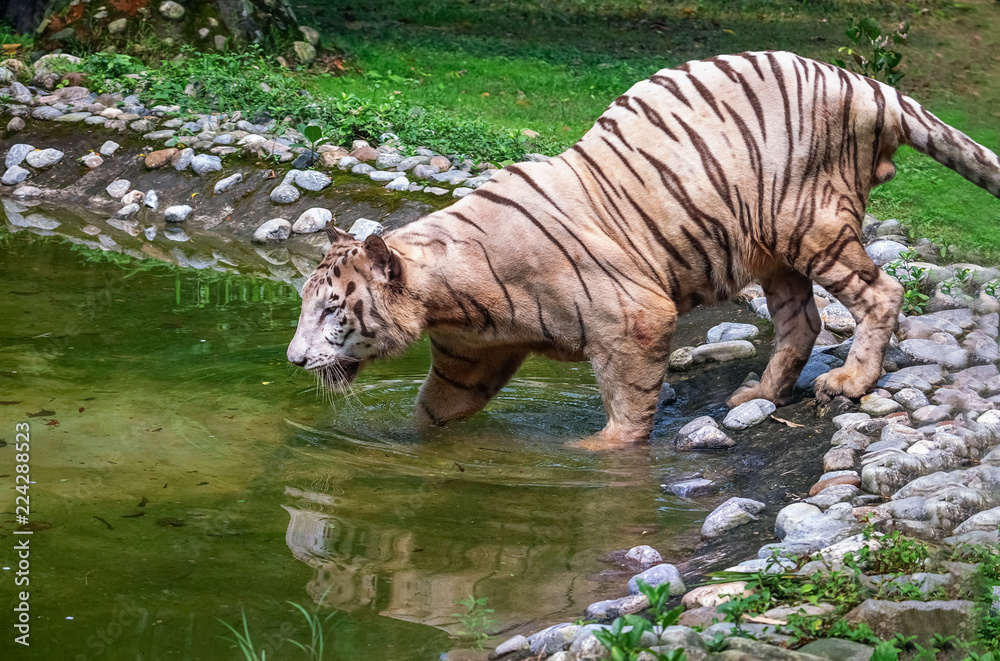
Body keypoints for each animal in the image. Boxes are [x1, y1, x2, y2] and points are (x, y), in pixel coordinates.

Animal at [286, 50, 1000, 447]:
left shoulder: (634, 320)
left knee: (882, 290)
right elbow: (435, 410)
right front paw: (403, 444)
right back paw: (757, 395)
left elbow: (629, 405)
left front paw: (599, 453)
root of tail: (864, 82)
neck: (448, 300)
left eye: (331, 310)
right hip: (772, 246)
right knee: (802, 320)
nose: (293, 360)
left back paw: (850, 381)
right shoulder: (469, 358)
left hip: (811, 224)